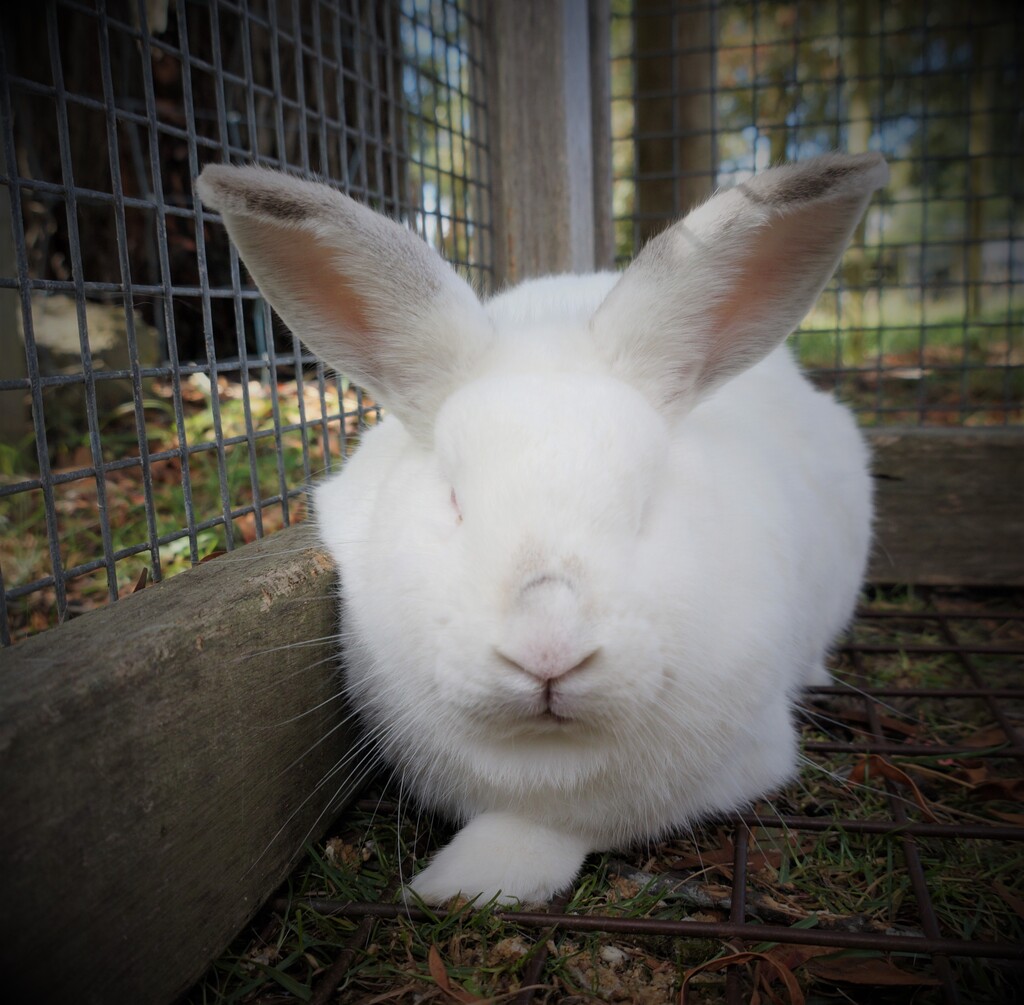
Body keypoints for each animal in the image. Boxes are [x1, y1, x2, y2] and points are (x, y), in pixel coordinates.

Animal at [197, 151, 887, 906]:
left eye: (645, 501)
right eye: (455, 498)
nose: (548, 652)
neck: (546, 759)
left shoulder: (745, 759)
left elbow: (553, 830)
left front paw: (466, 880)